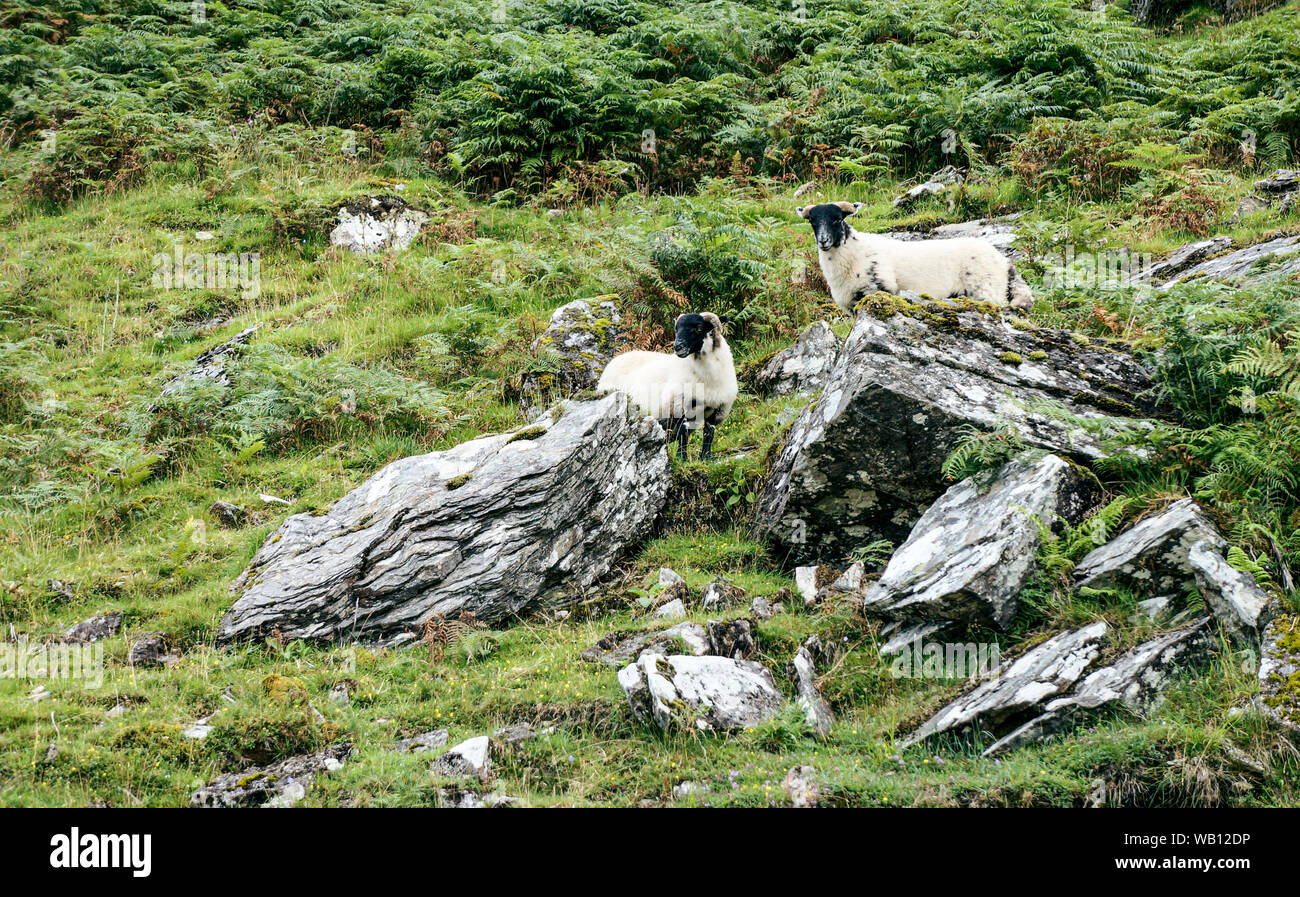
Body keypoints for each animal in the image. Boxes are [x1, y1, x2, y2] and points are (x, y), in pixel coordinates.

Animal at [597, 312, 738, 460]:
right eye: (677, 329)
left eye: (699, 328)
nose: (677, 347)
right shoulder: (678, 404)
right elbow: (684, 431)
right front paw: (682, 458)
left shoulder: (718, 408)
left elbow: (709, 432)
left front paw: (705, 457)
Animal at [795, 201, 1033, 313]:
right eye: (812, 221)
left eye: (837, 219)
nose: (823, 241)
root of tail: (1004, 262)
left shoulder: (879, 288)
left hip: (986, 291)